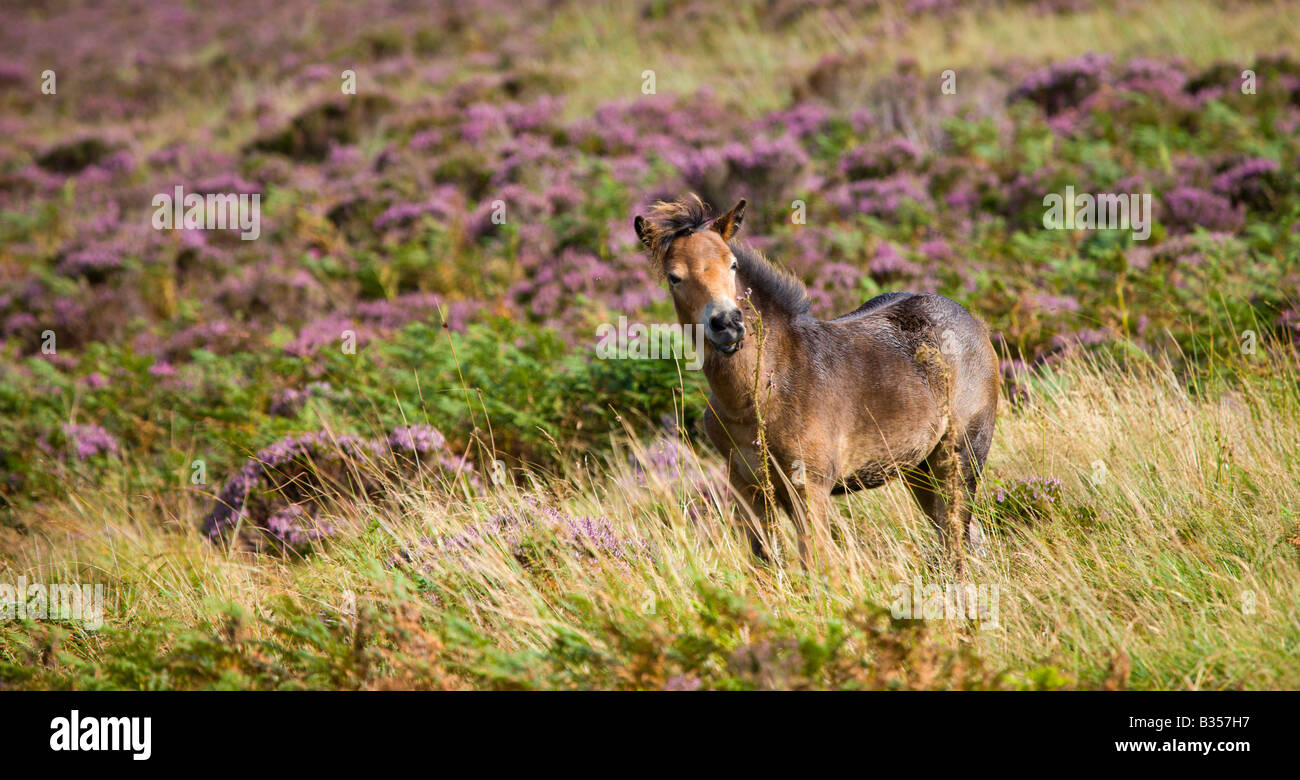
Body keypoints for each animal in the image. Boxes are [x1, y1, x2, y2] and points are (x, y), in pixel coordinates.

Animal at [633, 194, 999, 571]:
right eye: (674, 277)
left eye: (732, 264)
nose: (728, 324)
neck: (761, 396)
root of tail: (975, 322)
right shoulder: (747, 488)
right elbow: (764, 562)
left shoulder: (810, 485)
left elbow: (815, 561)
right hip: (918, 467)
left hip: (962, 454)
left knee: (956, 533)